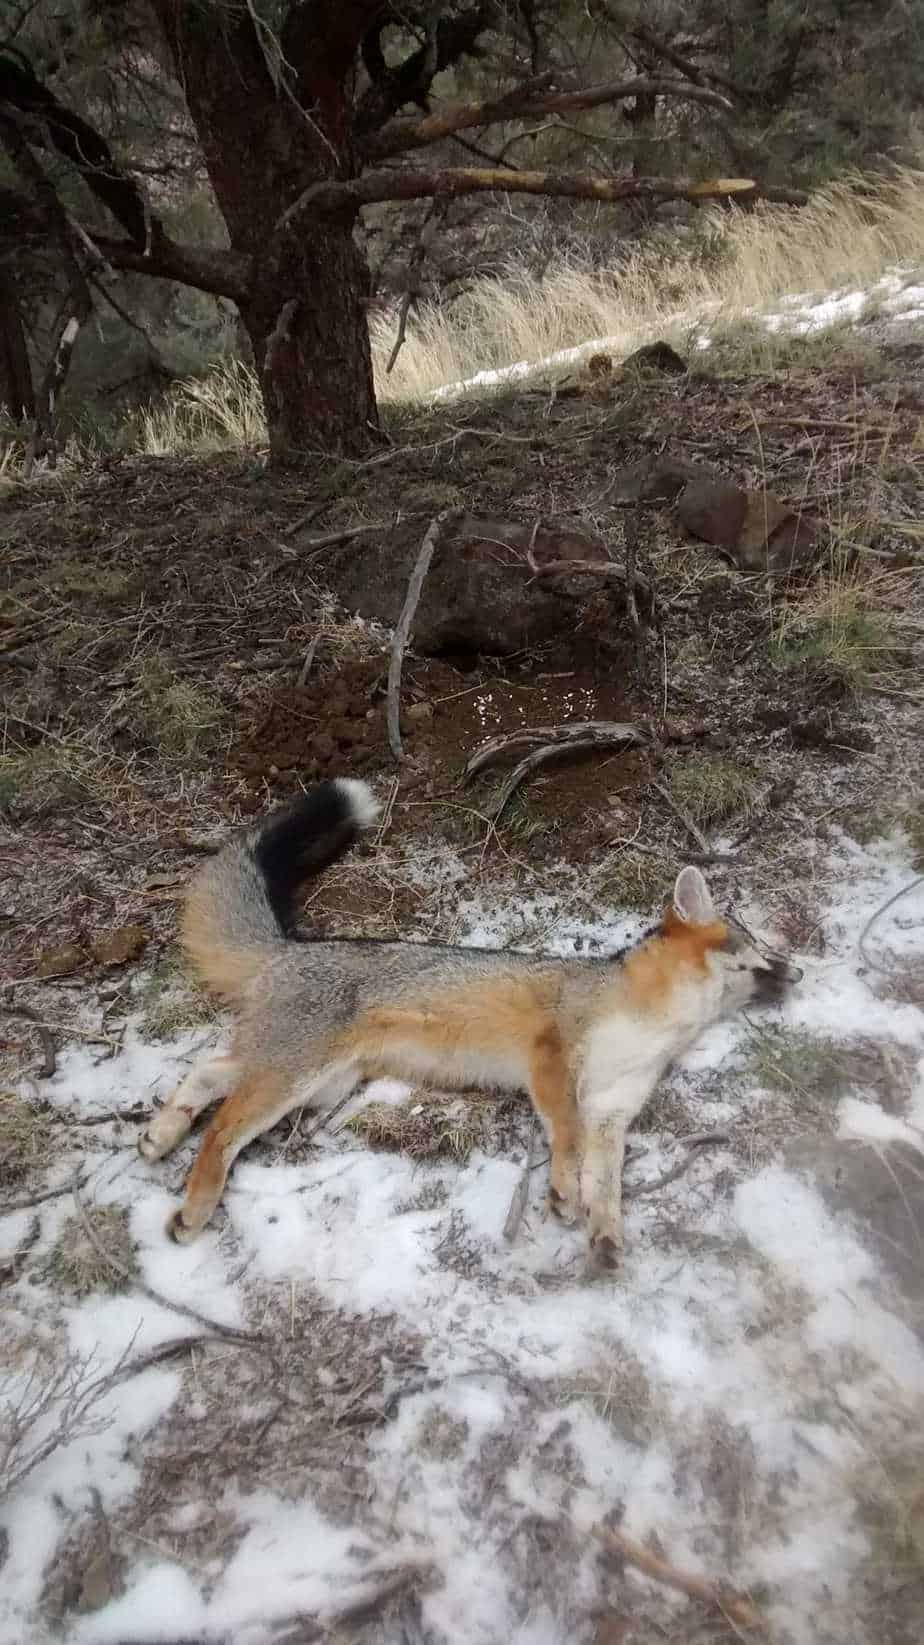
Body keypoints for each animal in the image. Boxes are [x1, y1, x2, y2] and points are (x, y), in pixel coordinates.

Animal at [139, 777, 800, 1264]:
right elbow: (566, 1134)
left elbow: (607, 1181)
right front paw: (563, 1190)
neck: (652, 1023)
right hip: (292, 1078)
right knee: (223, 1129)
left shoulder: (612, 1110)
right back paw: (194, 1206)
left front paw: (605, 1232)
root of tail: (289, 948)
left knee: (210, 1071)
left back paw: (159, 1133)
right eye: (757, 948)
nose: (795, 972)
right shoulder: (552, 1053)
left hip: (315, 1082)